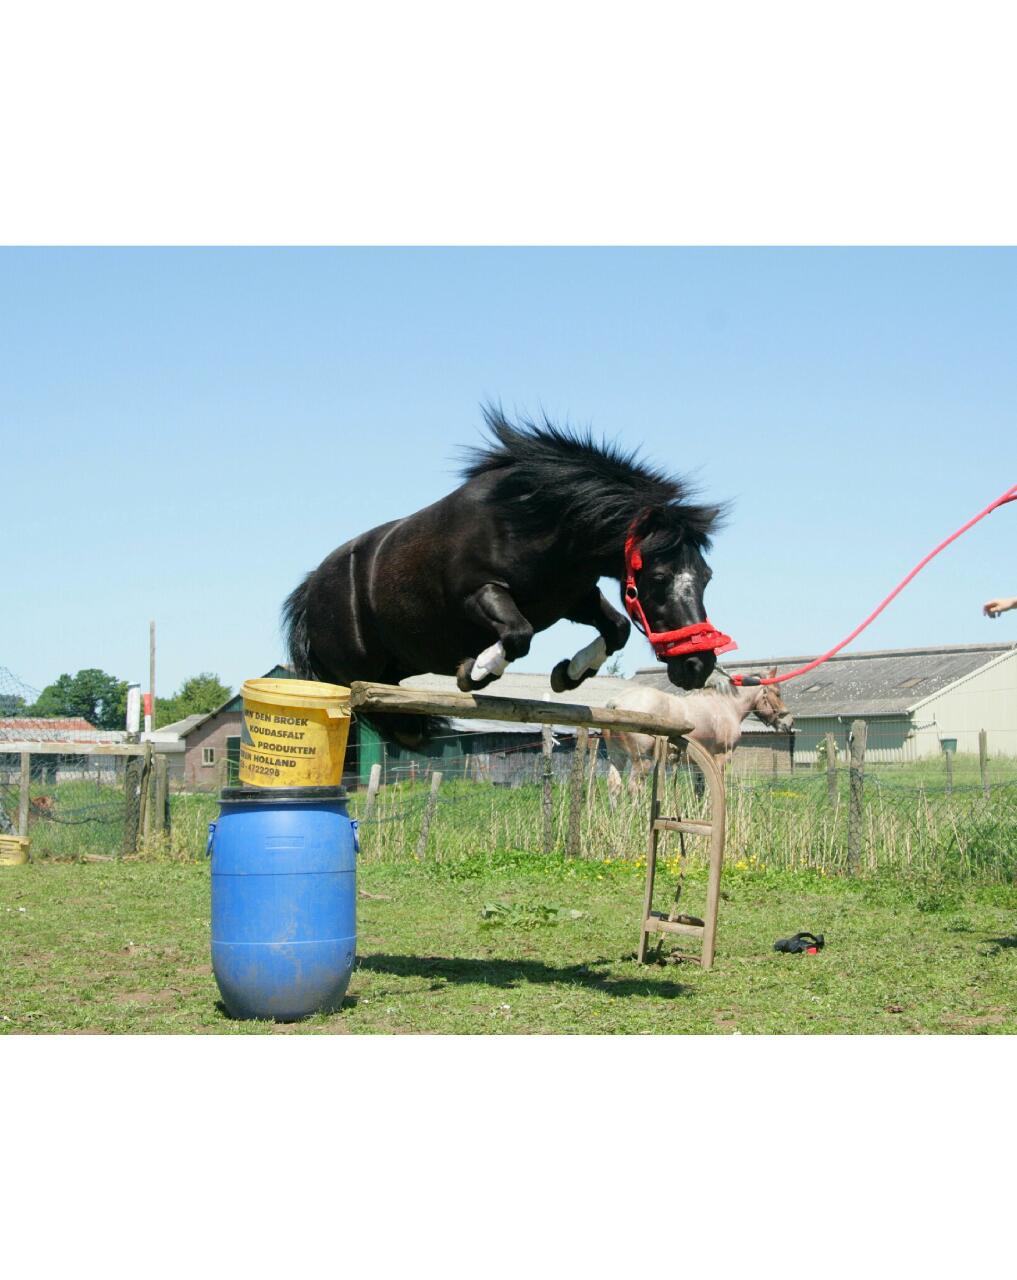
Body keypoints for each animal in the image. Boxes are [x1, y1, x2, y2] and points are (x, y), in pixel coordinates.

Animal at [284, 407, 727, 743]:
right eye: (659, 578)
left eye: (706, 577)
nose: (699, 666)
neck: (536, 524)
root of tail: (310, 589)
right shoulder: (480, 593)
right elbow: (518, 634)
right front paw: (473, 674)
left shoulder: (572, 598)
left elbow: (616, 628)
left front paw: (569, 673)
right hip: (349, 678)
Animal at [602, 668, 793, 805]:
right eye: (777, 693)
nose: (789, 722)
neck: (726, 704)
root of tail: (616, 702)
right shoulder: (721, 758)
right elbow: (713, 789)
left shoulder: (698, 764)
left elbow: (699, 791)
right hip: (642, 761)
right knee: (634, 788)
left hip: (617, 756)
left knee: (614, 786)